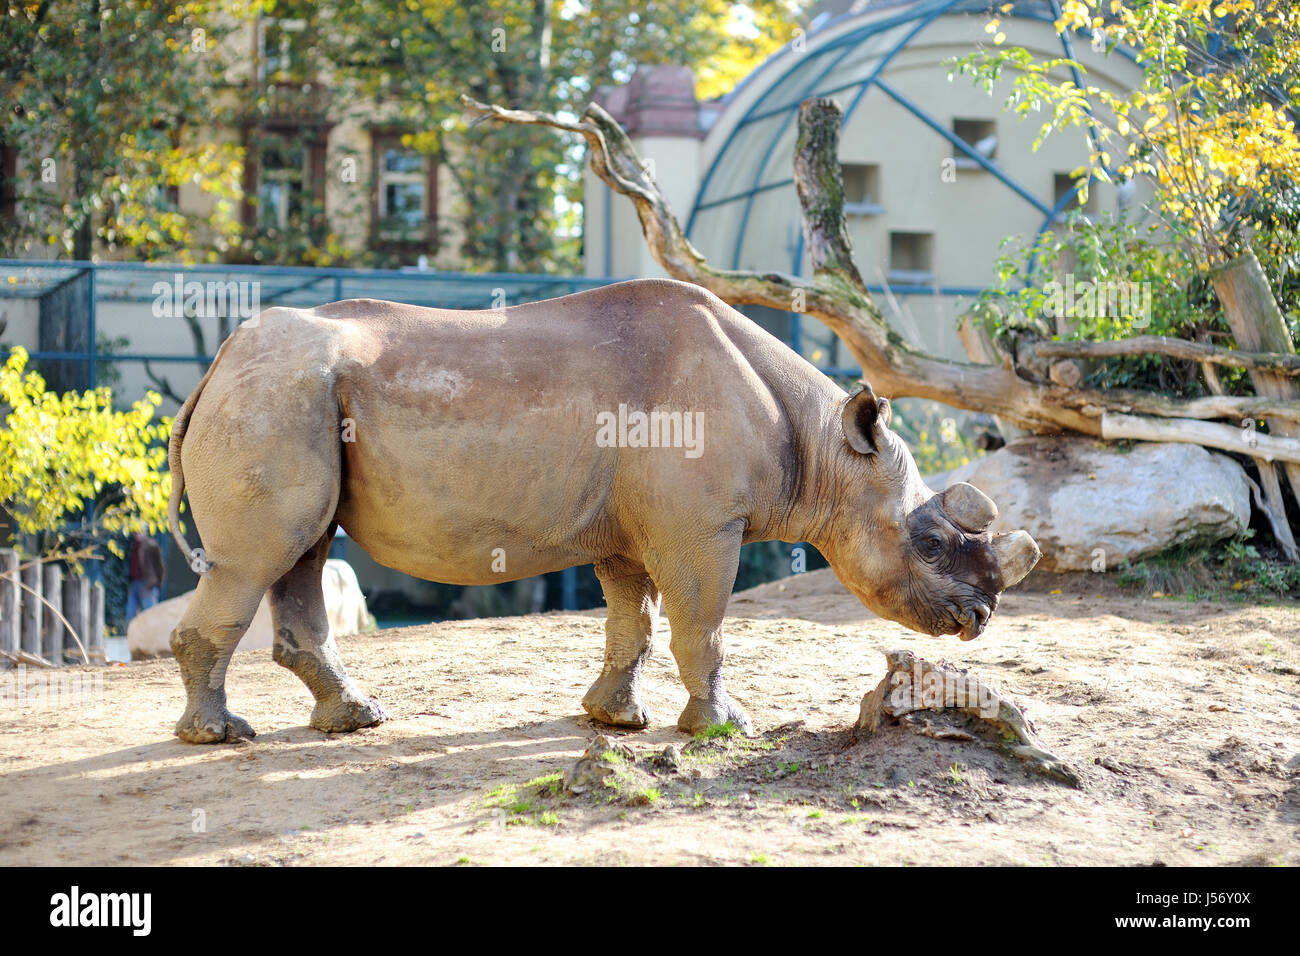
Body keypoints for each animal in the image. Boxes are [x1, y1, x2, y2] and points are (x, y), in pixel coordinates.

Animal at [165, 278, 1040, 743]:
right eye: (929, 544)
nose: (981, 618)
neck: (827, 452)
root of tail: (217, 363)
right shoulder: (700, 527)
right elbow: (701, 626)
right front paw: (723, 729)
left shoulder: (631, 529)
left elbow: (635, 623)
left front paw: (615, 720)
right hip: (278, 396)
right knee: (261, 556)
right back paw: (220, 736)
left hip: (291, 396)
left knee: (302, 553)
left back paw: (354, 720)